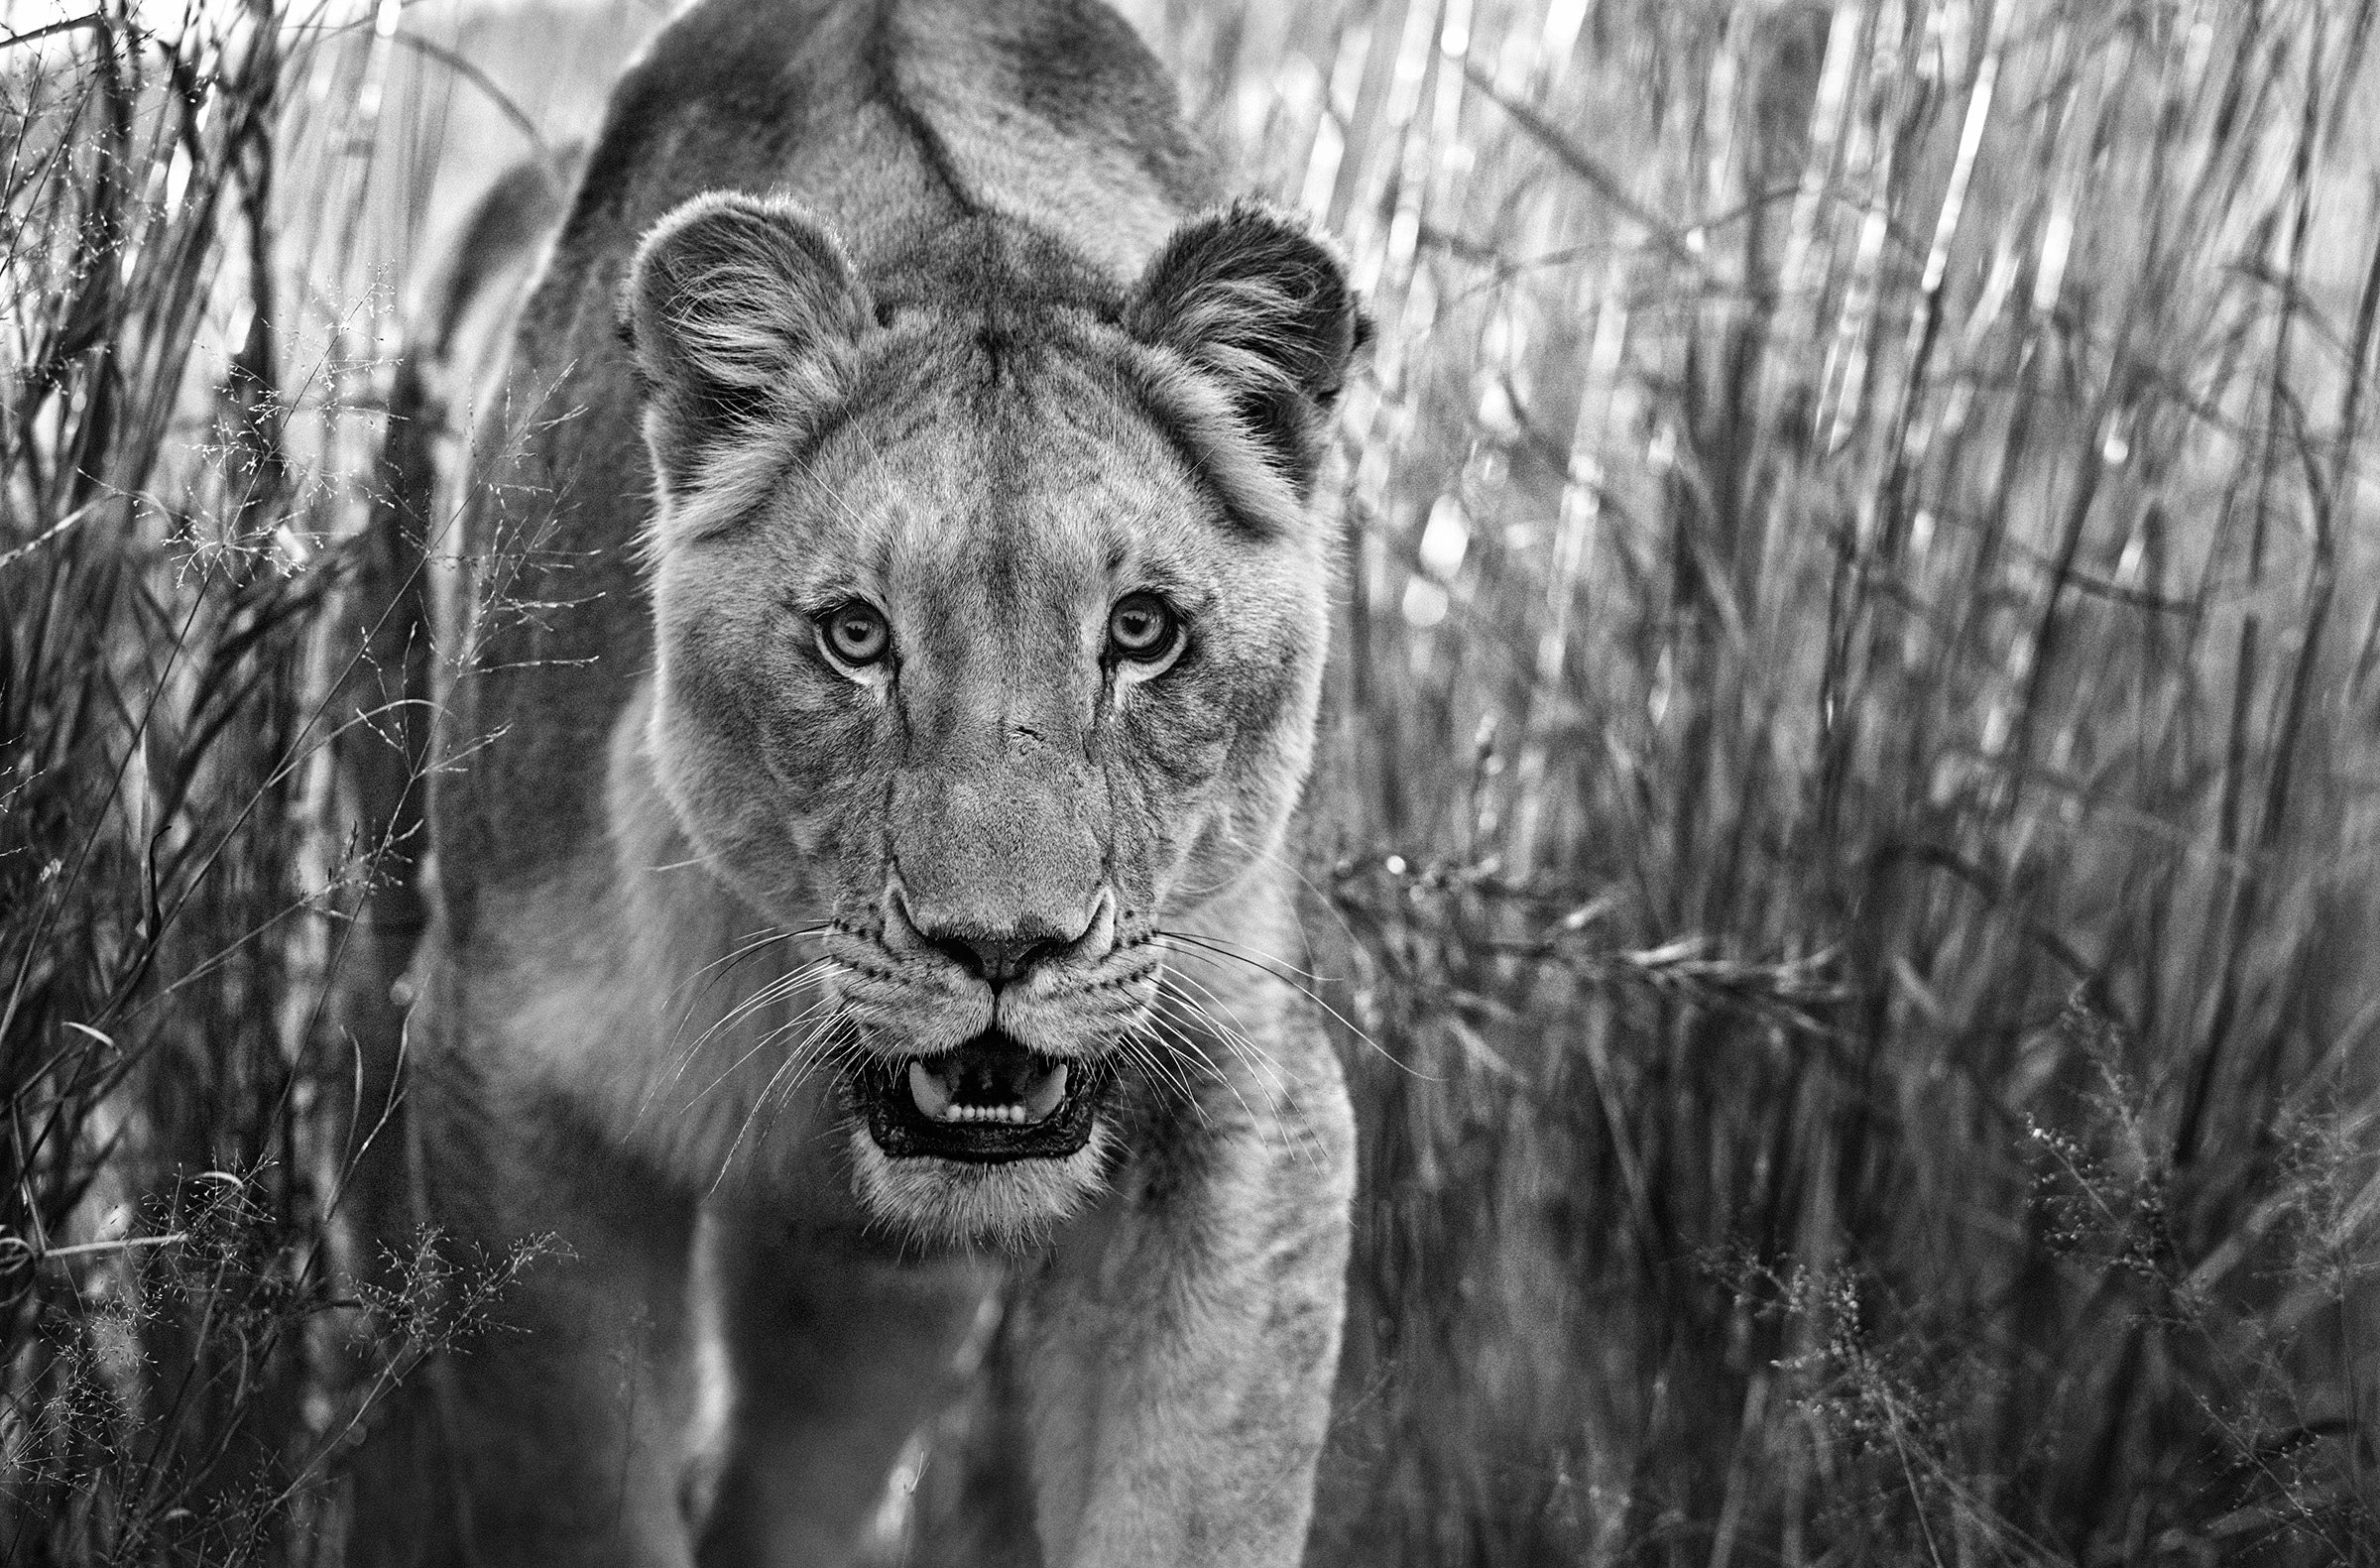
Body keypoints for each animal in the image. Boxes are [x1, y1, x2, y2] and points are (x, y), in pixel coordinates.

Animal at [340, 0, 1366, 1563]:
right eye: (856, 637)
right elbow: (576, 1494)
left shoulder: (1244, 1103)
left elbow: (1196, 1500)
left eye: (1142, 633)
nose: (1002, 949)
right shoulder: (508, 1075)